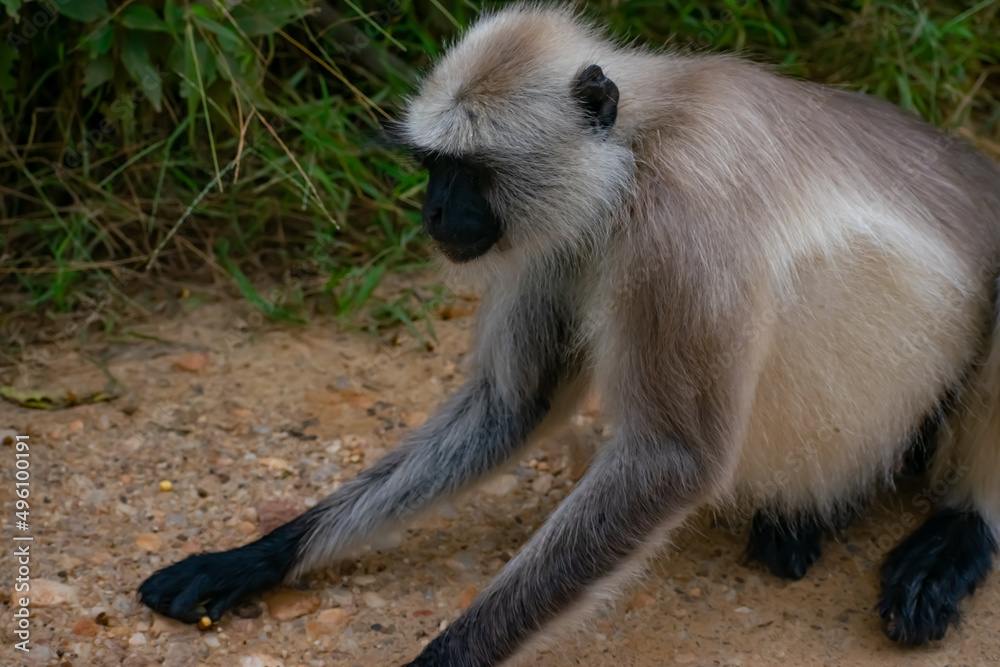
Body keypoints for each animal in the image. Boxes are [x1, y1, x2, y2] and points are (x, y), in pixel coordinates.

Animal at [138, 4, 1000, 665]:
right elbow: (514, 405)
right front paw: (259, 555)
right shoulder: (566, 233)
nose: (433, 211)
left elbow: (671, 459)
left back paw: (952, 529)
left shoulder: (681, 221)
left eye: (471, 171)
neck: (640, 140)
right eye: (431, 165)